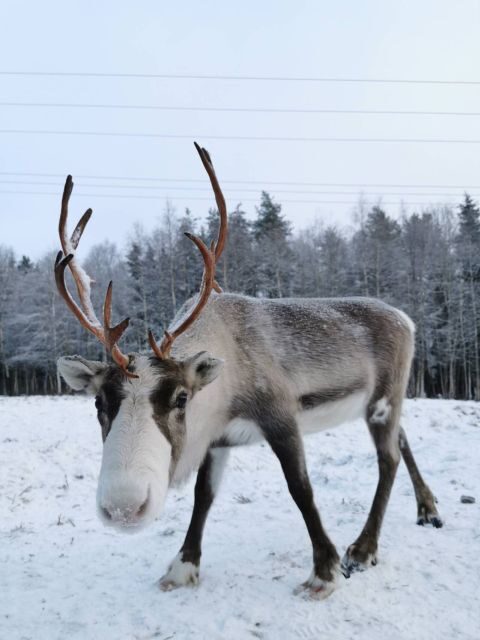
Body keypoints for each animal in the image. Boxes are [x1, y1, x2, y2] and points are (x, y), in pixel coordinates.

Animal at [56, 142, 442, 600]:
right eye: (99, 402)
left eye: (181, 398)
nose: (123, 506)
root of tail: (407, 319)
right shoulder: (218, 440)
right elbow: (203, 497)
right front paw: (182, 567)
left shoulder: (280, 417)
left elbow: (301, 489)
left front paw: (324, 571)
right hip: (387, 401)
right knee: (403, 439)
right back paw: (428, 509)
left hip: (382, 399)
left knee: (388, 458)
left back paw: (363, 550)